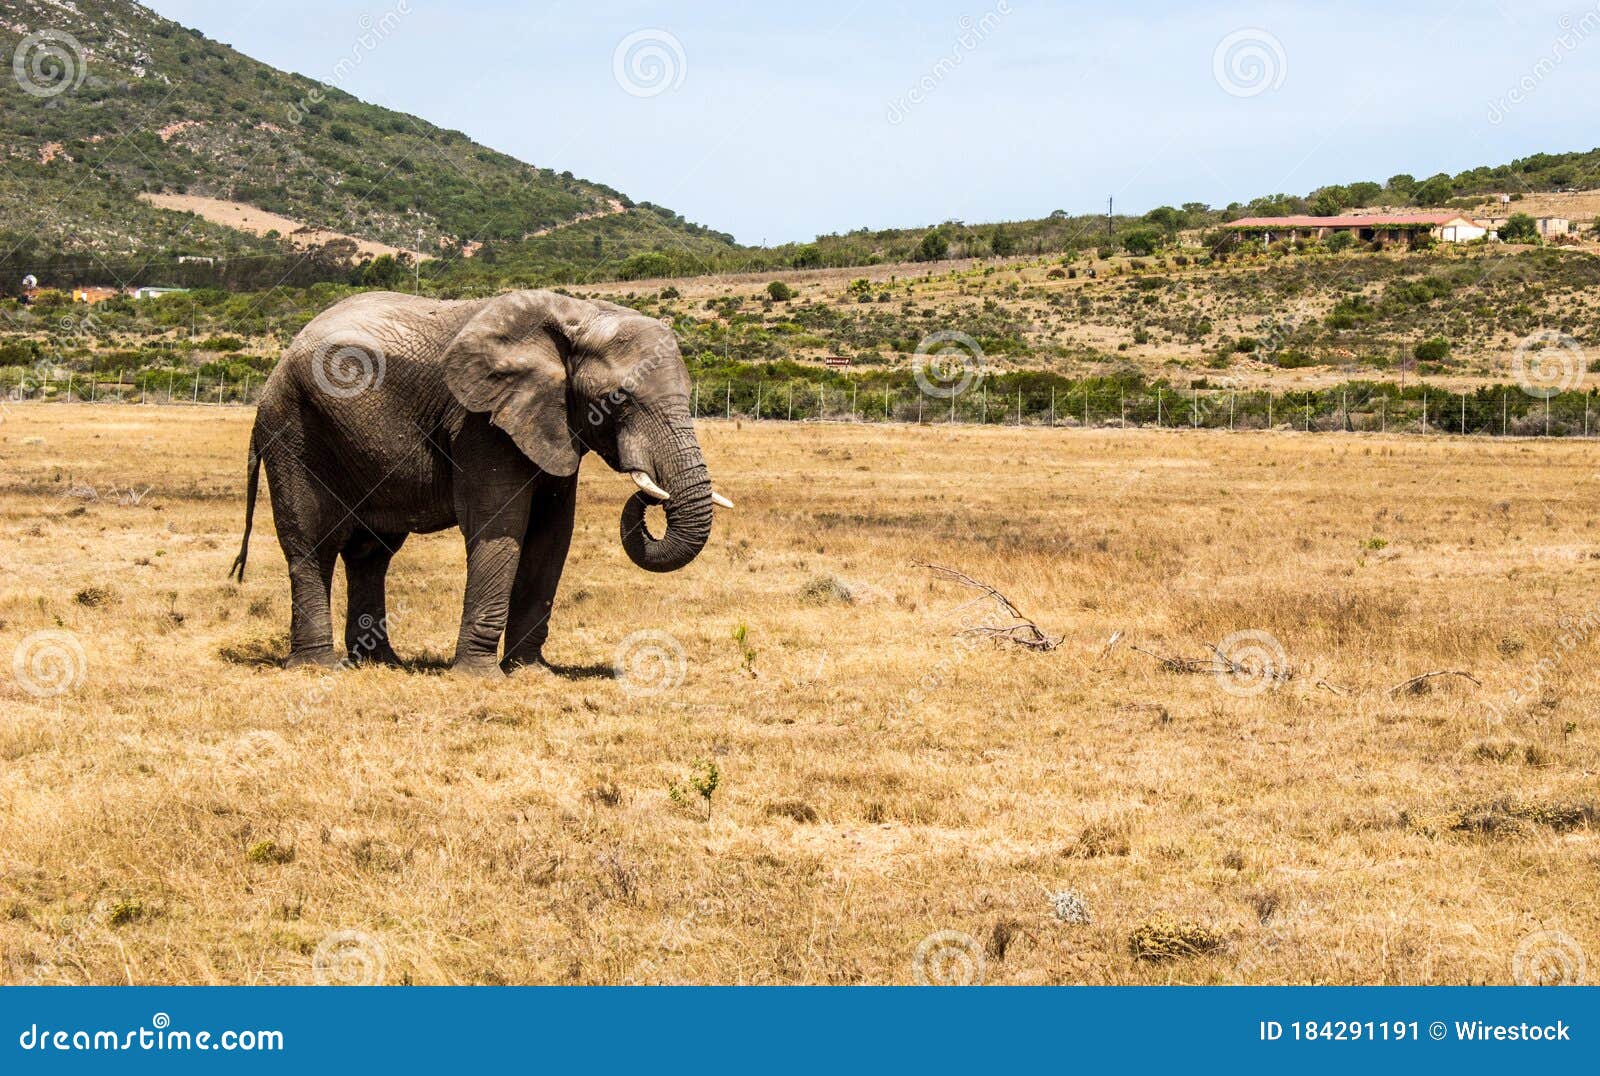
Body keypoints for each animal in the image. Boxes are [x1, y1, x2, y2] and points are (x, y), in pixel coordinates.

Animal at [227, 288, 732, 676]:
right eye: (618, 398)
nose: (650, 495)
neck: (578, 317)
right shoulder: (480, 420)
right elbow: (499, 526)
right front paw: (480, 675)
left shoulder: (551, 421)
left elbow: (552, 534)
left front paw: (530, 672)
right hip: (293, 429)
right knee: (313, 544)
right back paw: (318, 667)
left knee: (371, 553)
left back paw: (381, 663)